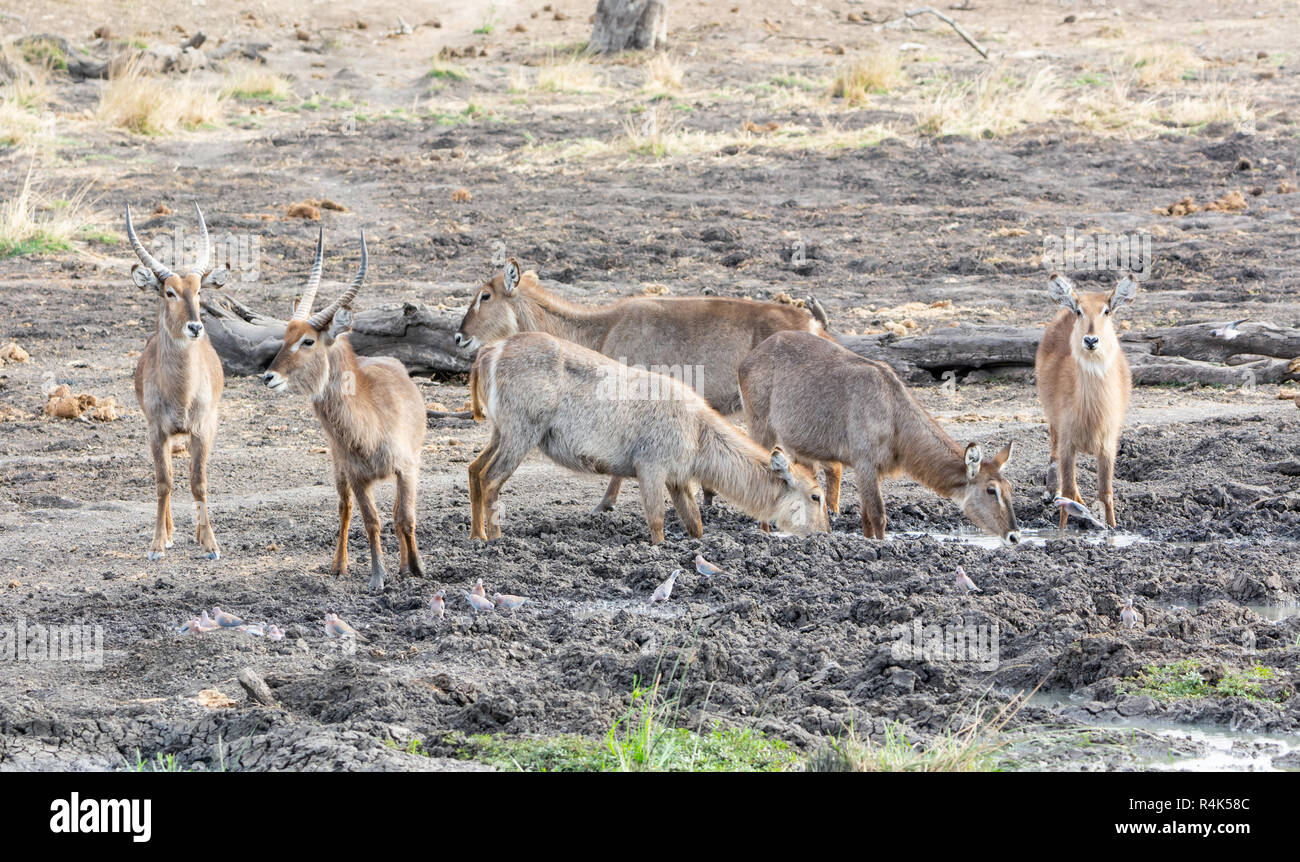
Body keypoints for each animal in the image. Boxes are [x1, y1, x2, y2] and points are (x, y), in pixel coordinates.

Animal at [128, 202, 227, 561]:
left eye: (198, 291)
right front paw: (158, 544)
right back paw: (169, 534)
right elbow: (163, 481)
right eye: (169, 292)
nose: (195, 327)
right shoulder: (156, 431)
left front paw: (210, 544)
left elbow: (199, 482)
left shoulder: (202, 430)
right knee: (167, 477)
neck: (182, 394)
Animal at [260, 230, 426, 591]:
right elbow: (371, 520)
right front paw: (377, 577)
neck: (370, 422)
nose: (268, 377)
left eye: (308, 340)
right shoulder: (357, 476)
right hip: (338, 469)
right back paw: (339, 566)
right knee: (344, 508)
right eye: (285, 337)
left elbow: (405, 517)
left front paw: (416, 569)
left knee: (397, 512)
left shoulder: (407, 469)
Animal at [467, 332, 829, 544]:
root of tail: (491, 351)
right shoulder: (651, 468)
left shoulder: (678, 480)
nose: (825, 533)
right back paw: (495, 539)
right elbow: (656, 521)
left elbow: (695, 524)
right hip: (521, 434)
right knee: (490, 479)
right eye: (816, 496)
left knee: (474, 471)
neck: (699, 430)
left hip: (500, 432)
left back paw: (476, 536)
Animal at [738, 331, 1021, 545]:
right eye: (990, 489)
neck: (894, 410)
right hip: (761, 429)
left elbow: (865, 516)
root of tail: (749, 357)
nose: (1014, 536)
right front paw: (883, 548)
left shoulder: (873, 470)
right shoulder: (864, 463)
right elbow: (878, 515)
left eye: (1009, 489)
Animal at [1035, 272, 1136, 528]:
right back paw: (1052, 494)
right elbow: (1068, 491)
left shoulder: (1108, 447)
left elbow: (1106, 493)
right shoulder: (1068, 444)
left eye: (1106, 311)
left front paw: (1113, 529)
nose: (1091, 340)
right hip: (1055, 426)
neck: (1092, 411)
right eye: (1080, 310)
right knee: (1058, 466)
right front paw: (1062, 532)